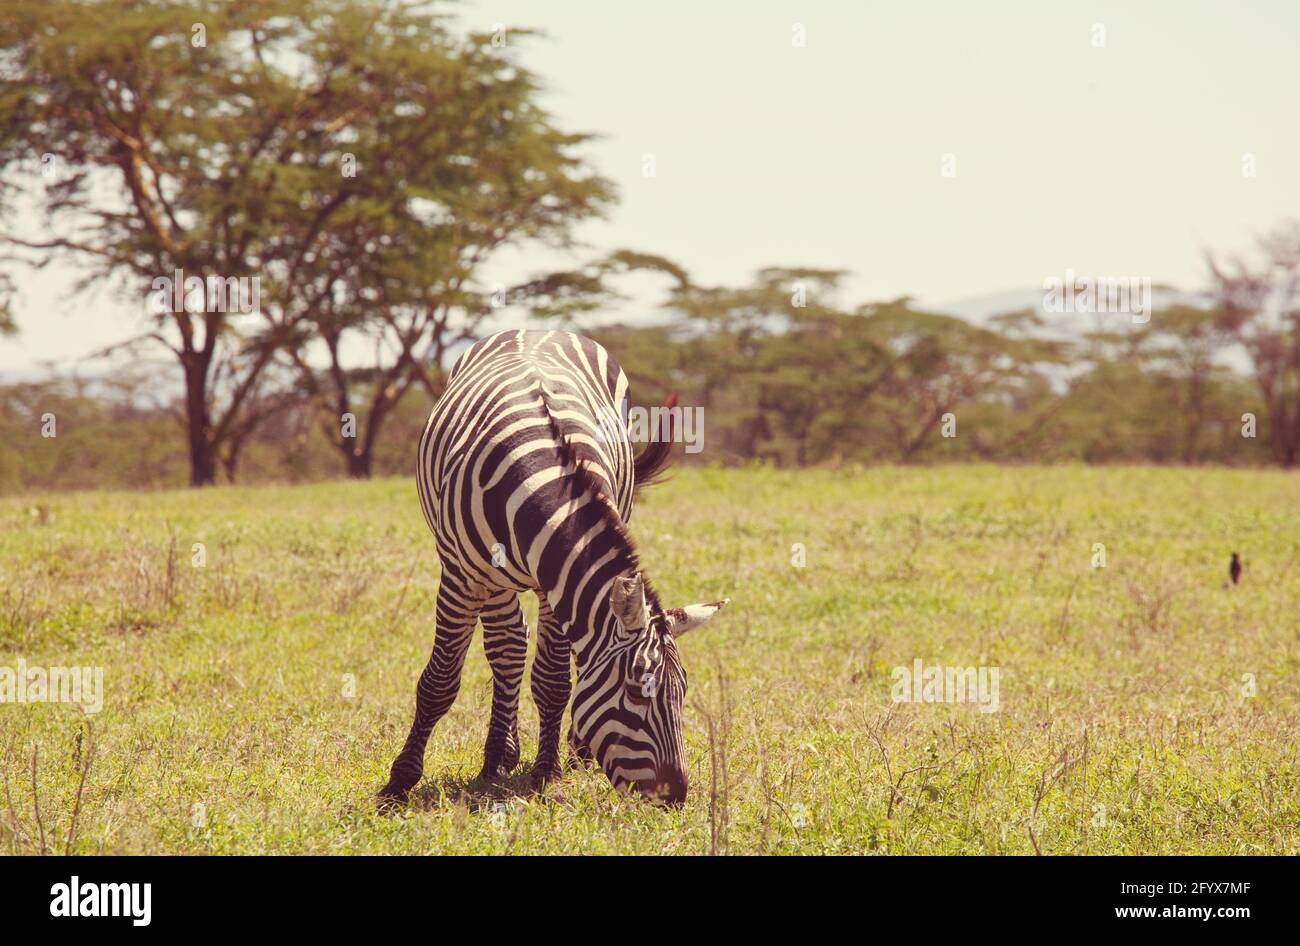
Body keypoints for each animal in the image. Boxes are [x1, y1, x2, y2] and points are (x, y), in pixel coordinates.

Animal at [379, 330, 728, 807]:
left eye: (684, 692)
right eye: (635, 692)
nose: (674, 797)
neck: (536, 480)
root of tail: (536, 329)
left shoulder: (555, 584)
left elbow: (553, 680)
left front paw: (547, 773)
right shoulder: (461, 575)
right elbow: (441, 681)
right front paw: (399, 781)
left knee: (526, 647)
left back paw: (553, 749)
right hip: (491, 579)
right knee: (507, 646)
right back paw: (498, 755)